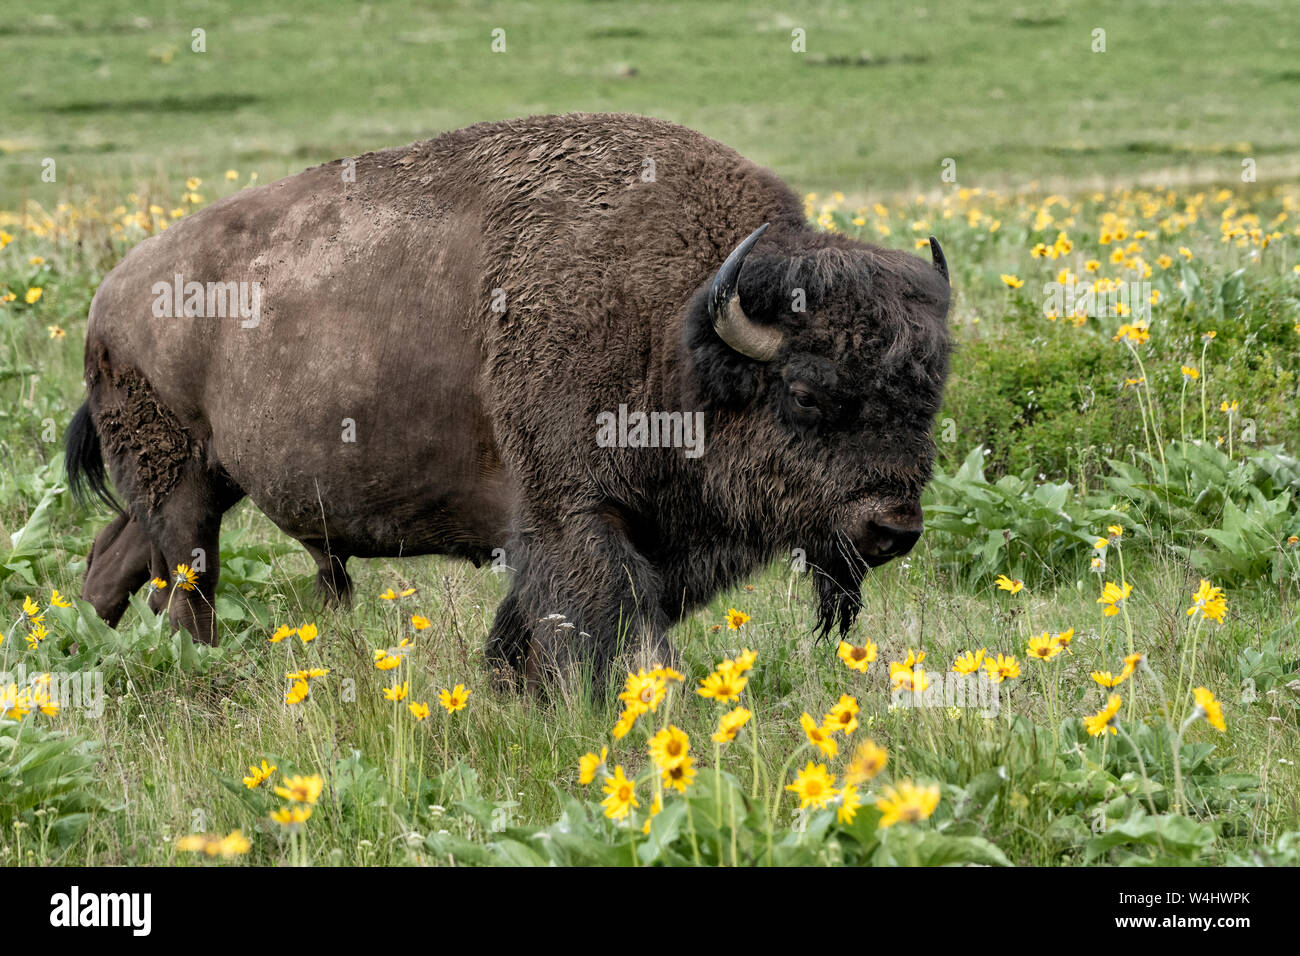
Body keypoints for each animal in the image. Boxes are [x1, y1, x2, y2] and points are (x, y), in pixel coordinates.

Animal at [67, 112, 951, 690]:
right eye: (804, 392)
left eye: (930, 393)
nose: (893, 527)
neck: (675, 328)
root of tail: (114, 288)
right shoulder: (574, 517)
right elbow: (612, 631)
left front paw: (504, 686)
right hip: (181, 485)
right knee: (186, 588)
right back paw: (192, 673)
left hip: (202, 481)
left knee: (115, 562)